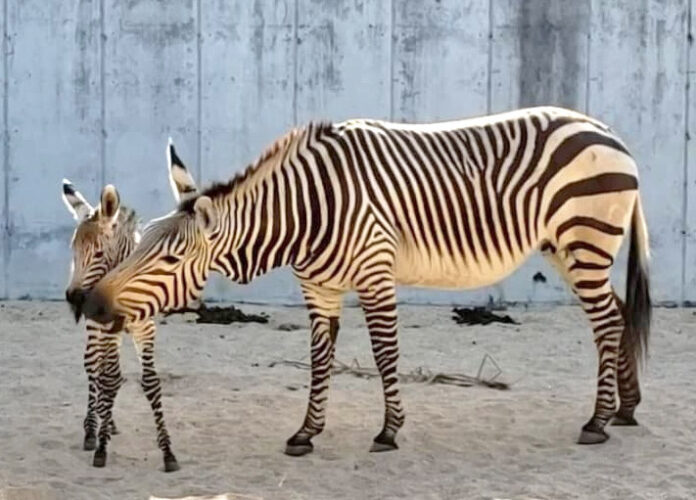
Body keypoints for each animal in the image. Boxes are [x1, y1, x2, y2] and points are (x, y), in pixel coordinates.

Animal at [62, 180, 179, 471]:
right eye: (73, 252)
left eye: (99, 253)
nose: (73, 298)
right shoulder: (106, 330)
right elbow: (109, 378)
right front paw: (101, 447)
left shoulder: (146, 329)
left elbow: (150, 382)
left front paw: (168, 451)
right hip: (96, 330)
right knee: (94, 368)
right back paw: (92, 428)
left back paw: (108, 421)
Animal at [83, 106, 651, 457]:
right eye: (139, 244)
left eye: (171, 259)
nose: (91, 305)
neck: (305, 213)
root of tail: (610, 132)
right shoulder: (318, 288)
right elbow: (319, 359)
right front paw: (306, 432)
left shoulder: (376, 273)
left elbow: (384, 353)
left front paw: (389, 430)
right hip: (566, 247)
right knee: (617, 314)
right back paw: (625, 409)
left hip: (586, 237)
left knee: (605, 320)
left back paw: (598, 420)